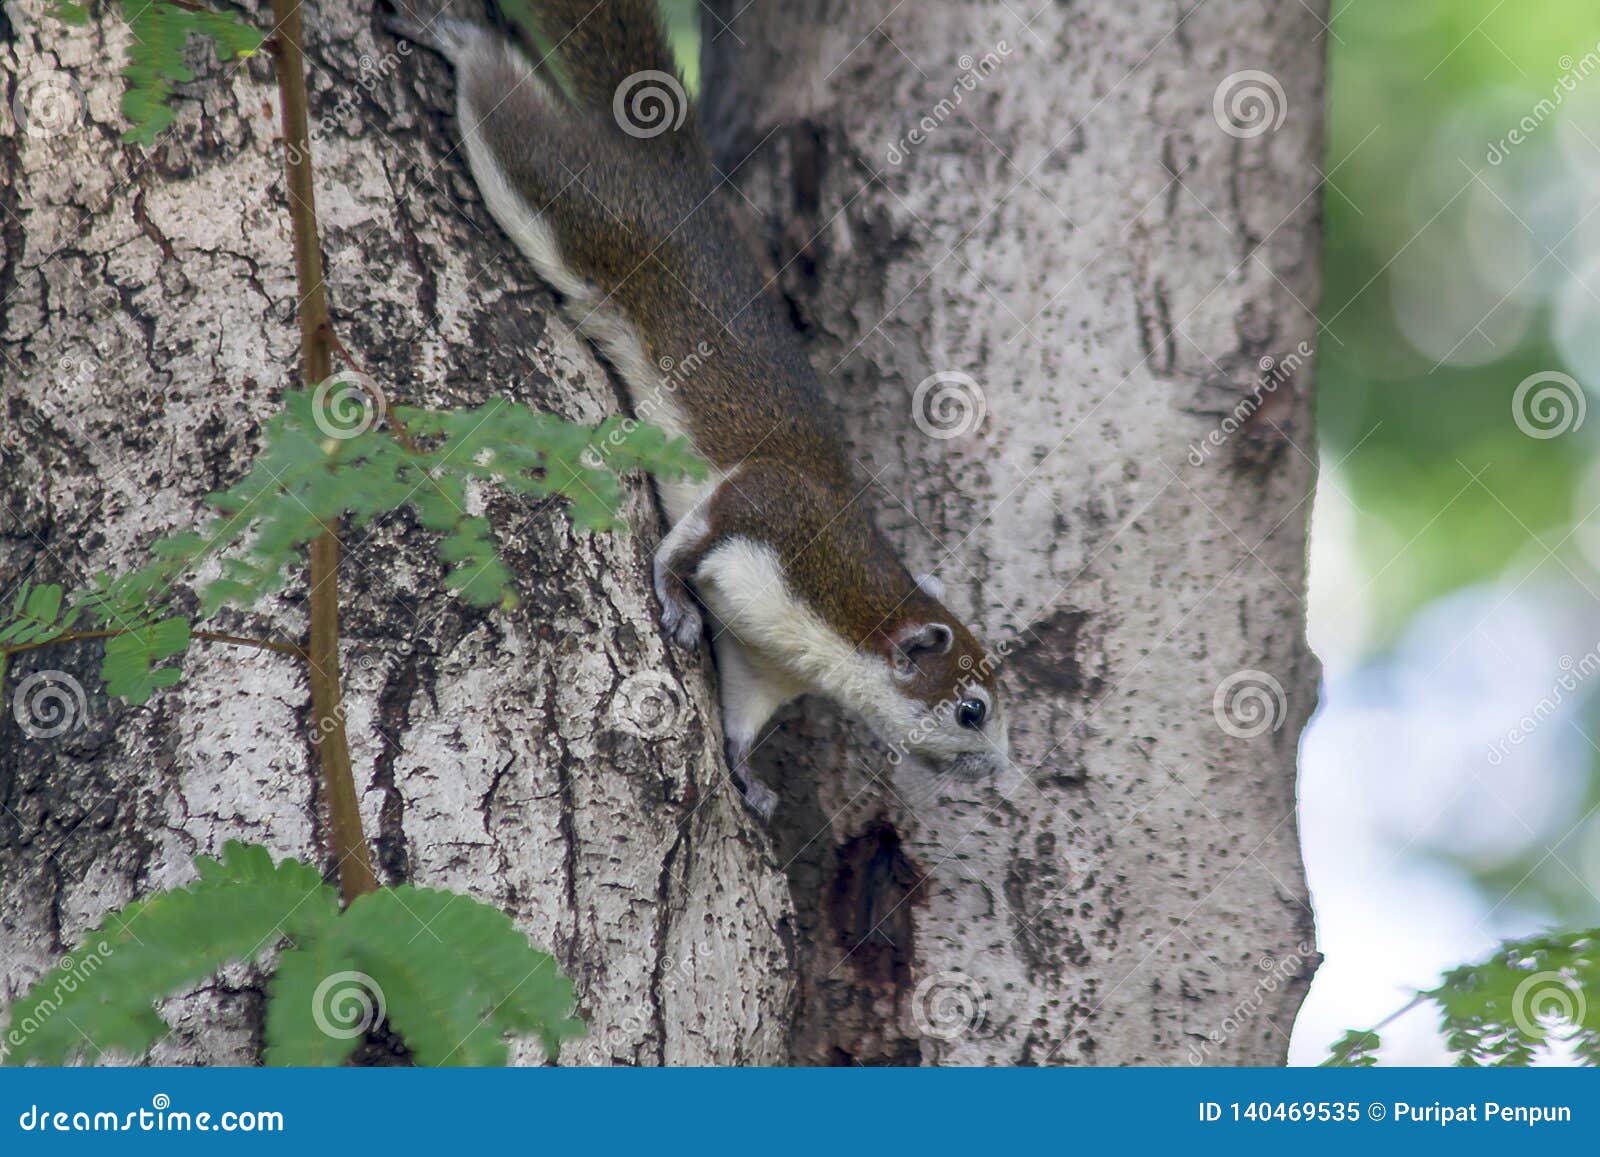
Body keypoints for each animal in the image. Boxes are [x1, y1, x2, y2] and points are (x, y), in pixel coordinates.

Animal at [390, 0, 1010, 818]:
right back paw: (461, 38)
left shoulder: (762, 663)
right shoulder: (777, 513)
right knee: (512, 119)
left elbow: (742, 716)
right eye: (972, 709)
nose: (1002, 770)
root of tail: (676, 170)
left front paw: (751, 777)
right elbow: (697, 534)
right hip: (588, 212)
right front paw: (674, 590)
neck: (837, 629)